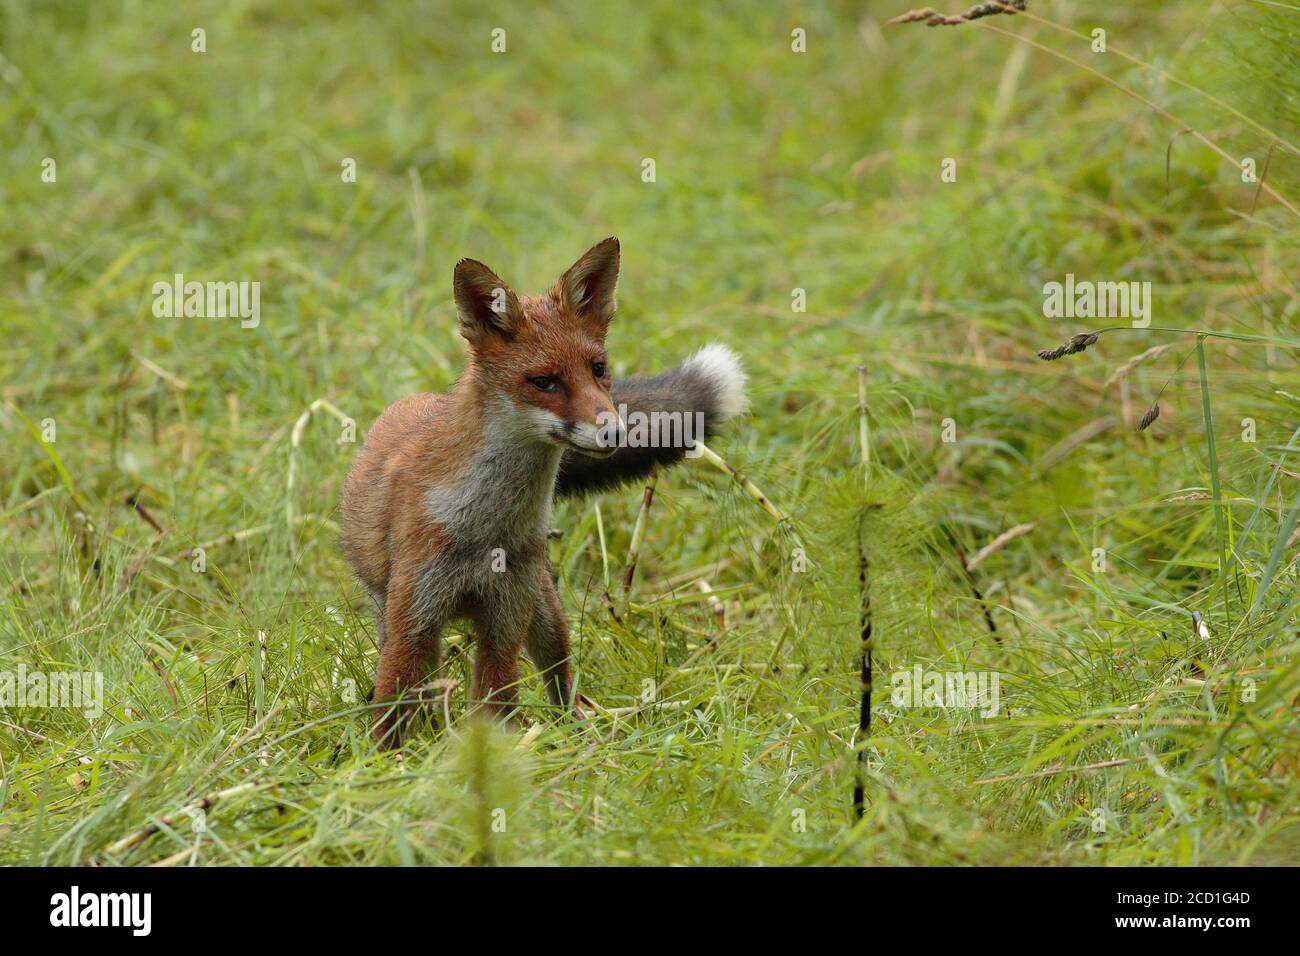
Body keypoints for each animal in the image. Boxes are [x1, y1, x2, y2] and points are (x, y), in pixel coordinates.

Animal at [340, 238, 747, 745]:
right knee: (425, 683)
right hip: (398, 616)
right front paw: (387, 761)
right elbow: (390, 713)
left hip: (545, 612)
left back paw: (577, 733)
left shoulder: (503, 623)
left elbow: (496, 708)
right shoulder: (412, 622)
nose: (615, 432)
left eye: (598, 369)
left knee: (562, 683)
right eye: (544, 382)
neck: (483, 529)